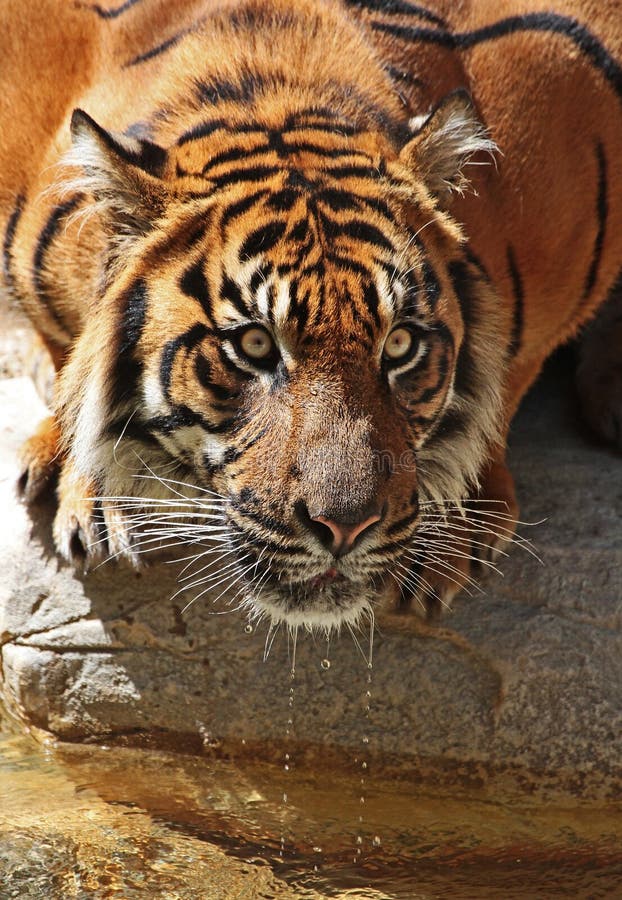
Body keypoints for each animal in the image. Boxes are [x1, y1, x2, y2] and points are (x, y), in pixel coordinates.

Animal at [2, 0, 622, 631]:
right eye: (254, 345)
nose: (346, 529)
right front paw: (92, 487)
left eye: (399, 345)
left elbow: (507, 377)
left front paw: (450, 525)